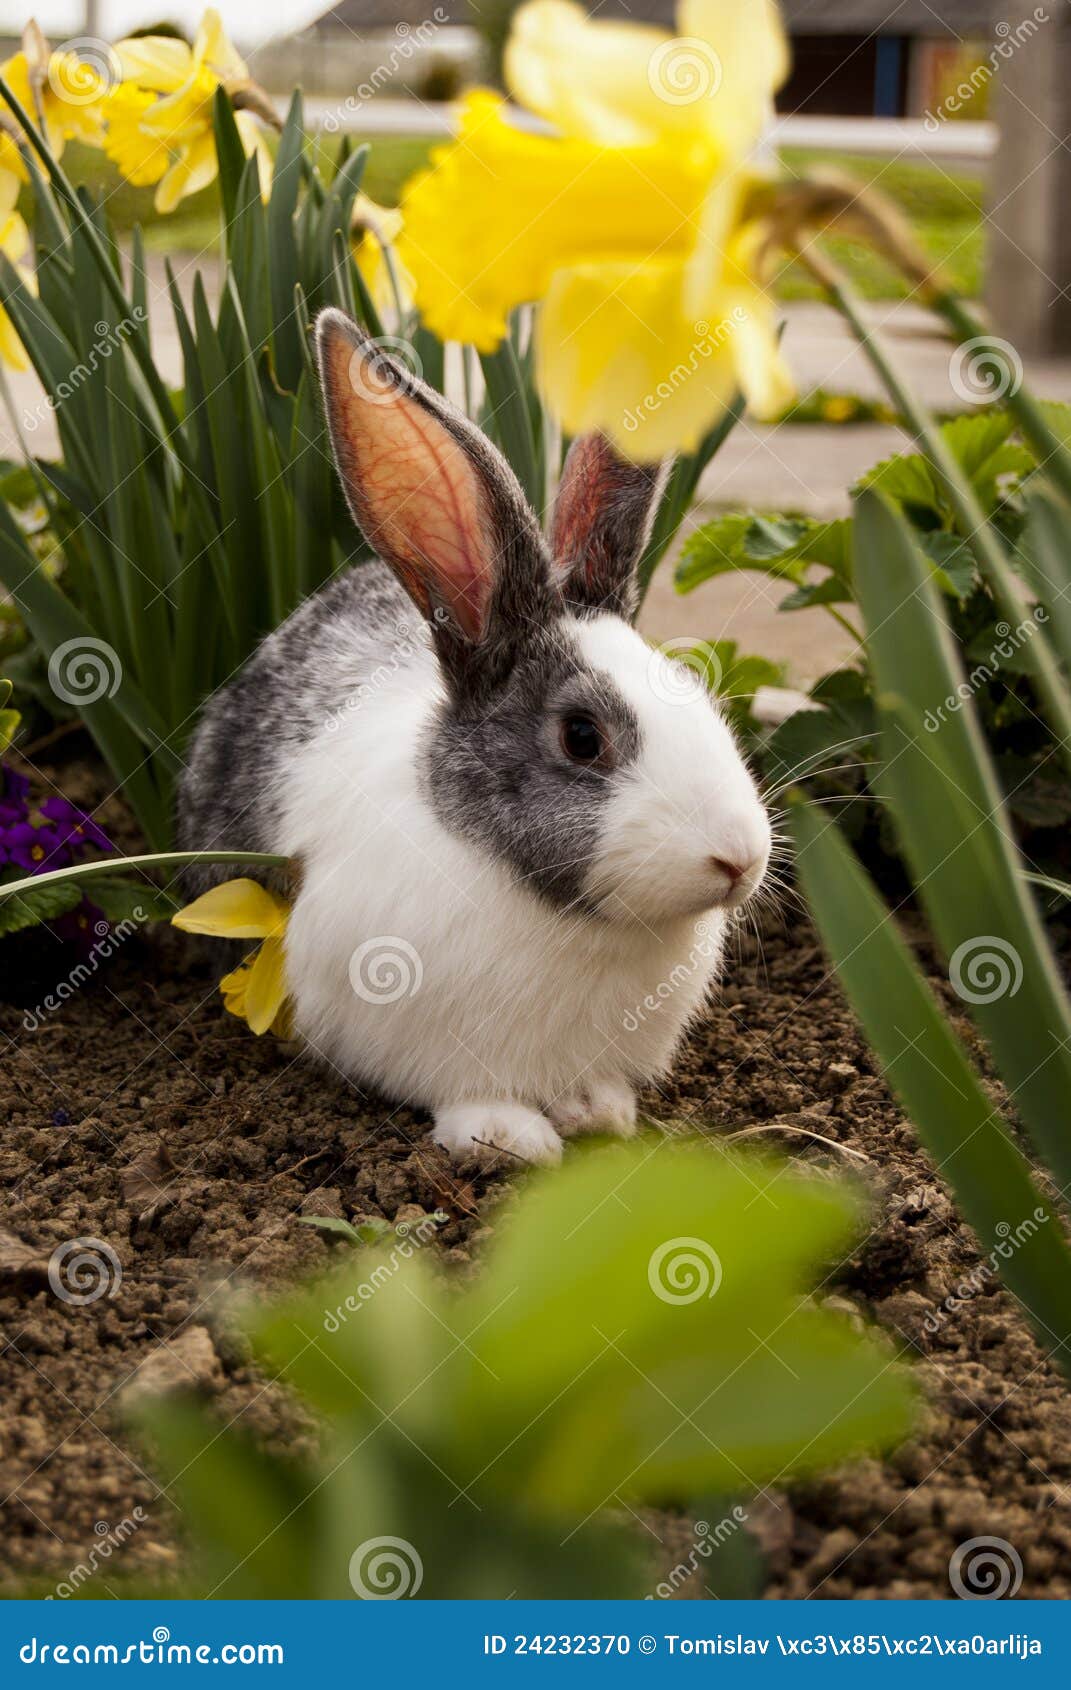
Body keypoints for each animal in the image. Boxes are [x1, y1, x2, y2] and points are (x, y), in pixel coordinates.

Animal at [176, 308, 772, 1166]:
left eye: (696, 691)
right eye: (582, 737)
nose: (738, 861)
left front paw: (598, 1113)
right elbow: (467, 1097)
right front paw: (507, 1139)